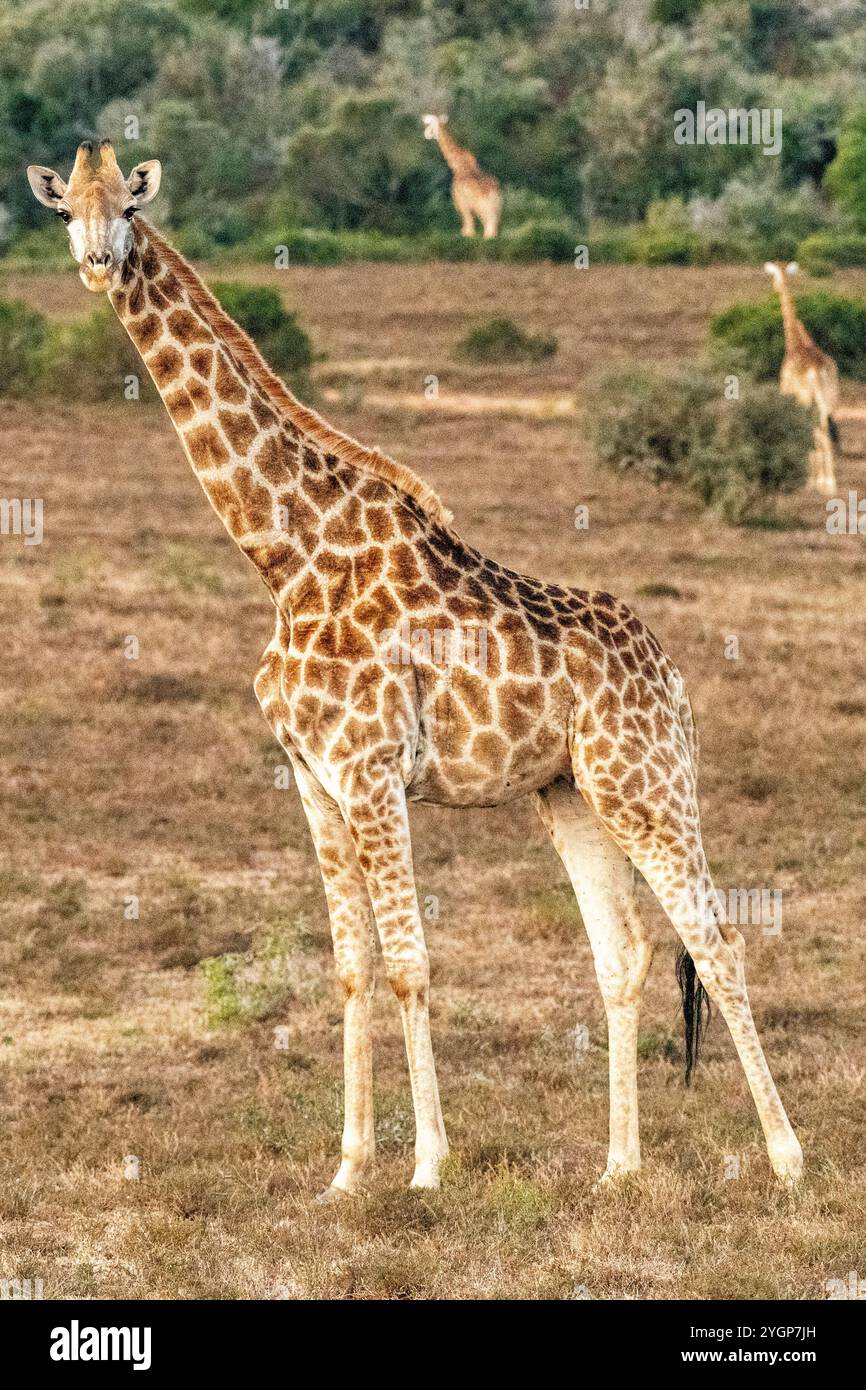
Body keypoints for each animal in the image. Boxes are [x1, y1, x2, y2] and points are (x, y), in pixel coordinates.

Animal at [27, 143, 803, 1198]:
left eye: (130, 210)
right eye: (66, 210)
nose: (98, 261)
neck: (284, 556)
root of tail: (675, 680)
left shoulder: (370, 772)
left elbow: (409, 963)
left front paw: (429, 1165)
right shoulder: (314, 780)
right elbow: (352, 967)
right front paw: (347, 1171)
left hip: (647, 784)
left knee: (717, 944)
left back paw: (787, 1159)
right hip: (571, 791)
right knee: (627, 953)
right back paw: (618, 1169)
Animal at [764, 260, 839, 497]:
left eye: (774, 277)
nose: (774, 288)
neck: (795, 343)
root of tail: (819, 368)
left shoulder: (791, 394)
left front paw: (809, 481)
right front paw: (817, 482)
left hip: (807, 398)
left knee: (817, 432)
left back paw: (822, 482)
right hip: (829, 399)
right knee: (824, 430)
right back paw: (830, 483)